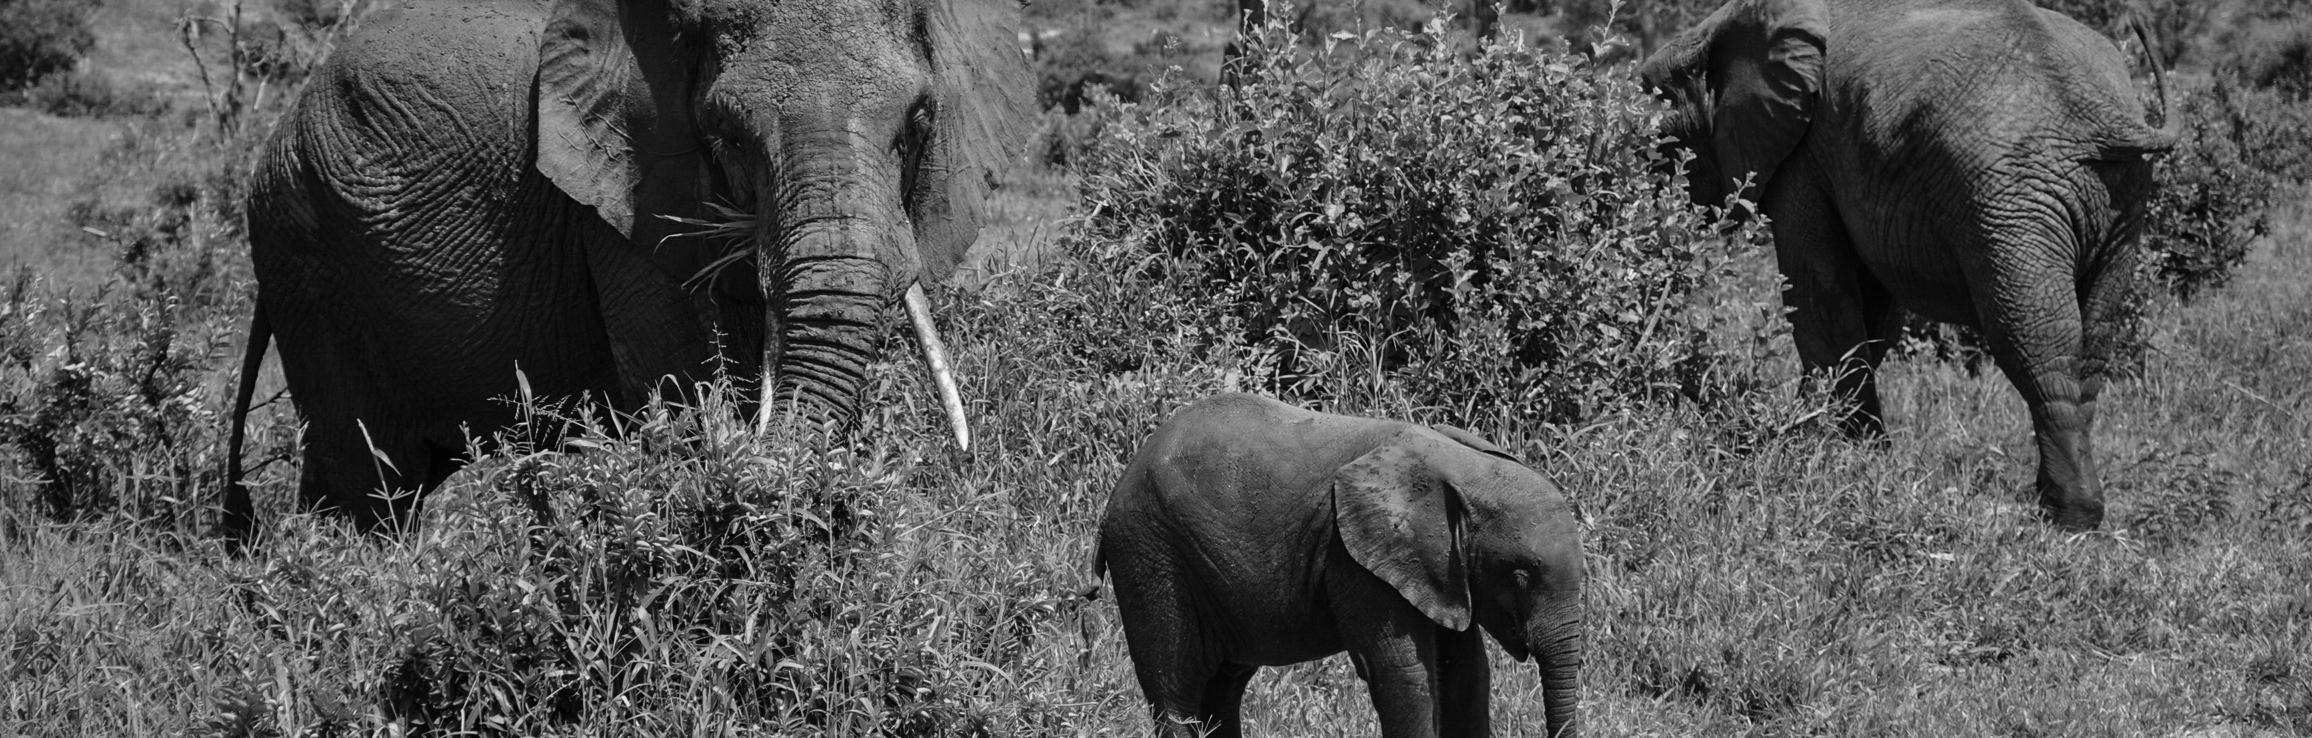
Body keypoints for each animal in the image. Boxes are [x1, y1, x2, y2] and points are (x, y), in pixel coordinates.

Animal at [222, 0, 1031, 535]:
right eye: (728, 135)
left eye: (918, 122)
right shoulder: (618, 205)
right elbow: (678, 388)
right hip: (307, 252)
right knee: (366, 491)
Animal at [1092, 393, 1583, 738]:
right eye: (1520, 576)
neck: (1463, 466)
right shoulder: (1355, 559)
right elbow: (1402, 673)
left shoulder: (1442, 571)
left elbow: (1466, 673)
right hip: (1150, 552)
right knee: (1174, 687)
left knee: (1222, 688)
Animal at [1639, 0, 2179, 530]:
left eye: (1657, 123)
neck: (1728, 24)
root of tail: (2103, 115)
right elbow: (1872, 314)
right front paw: (1832, 441)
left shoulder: (1804, 155)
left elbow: (1820, 295)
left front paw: (1827, 450)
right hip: (2120, 201)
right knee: (2094, 340)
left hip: (2011, 201)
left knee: (2036, 340)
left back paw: (2066, 518)